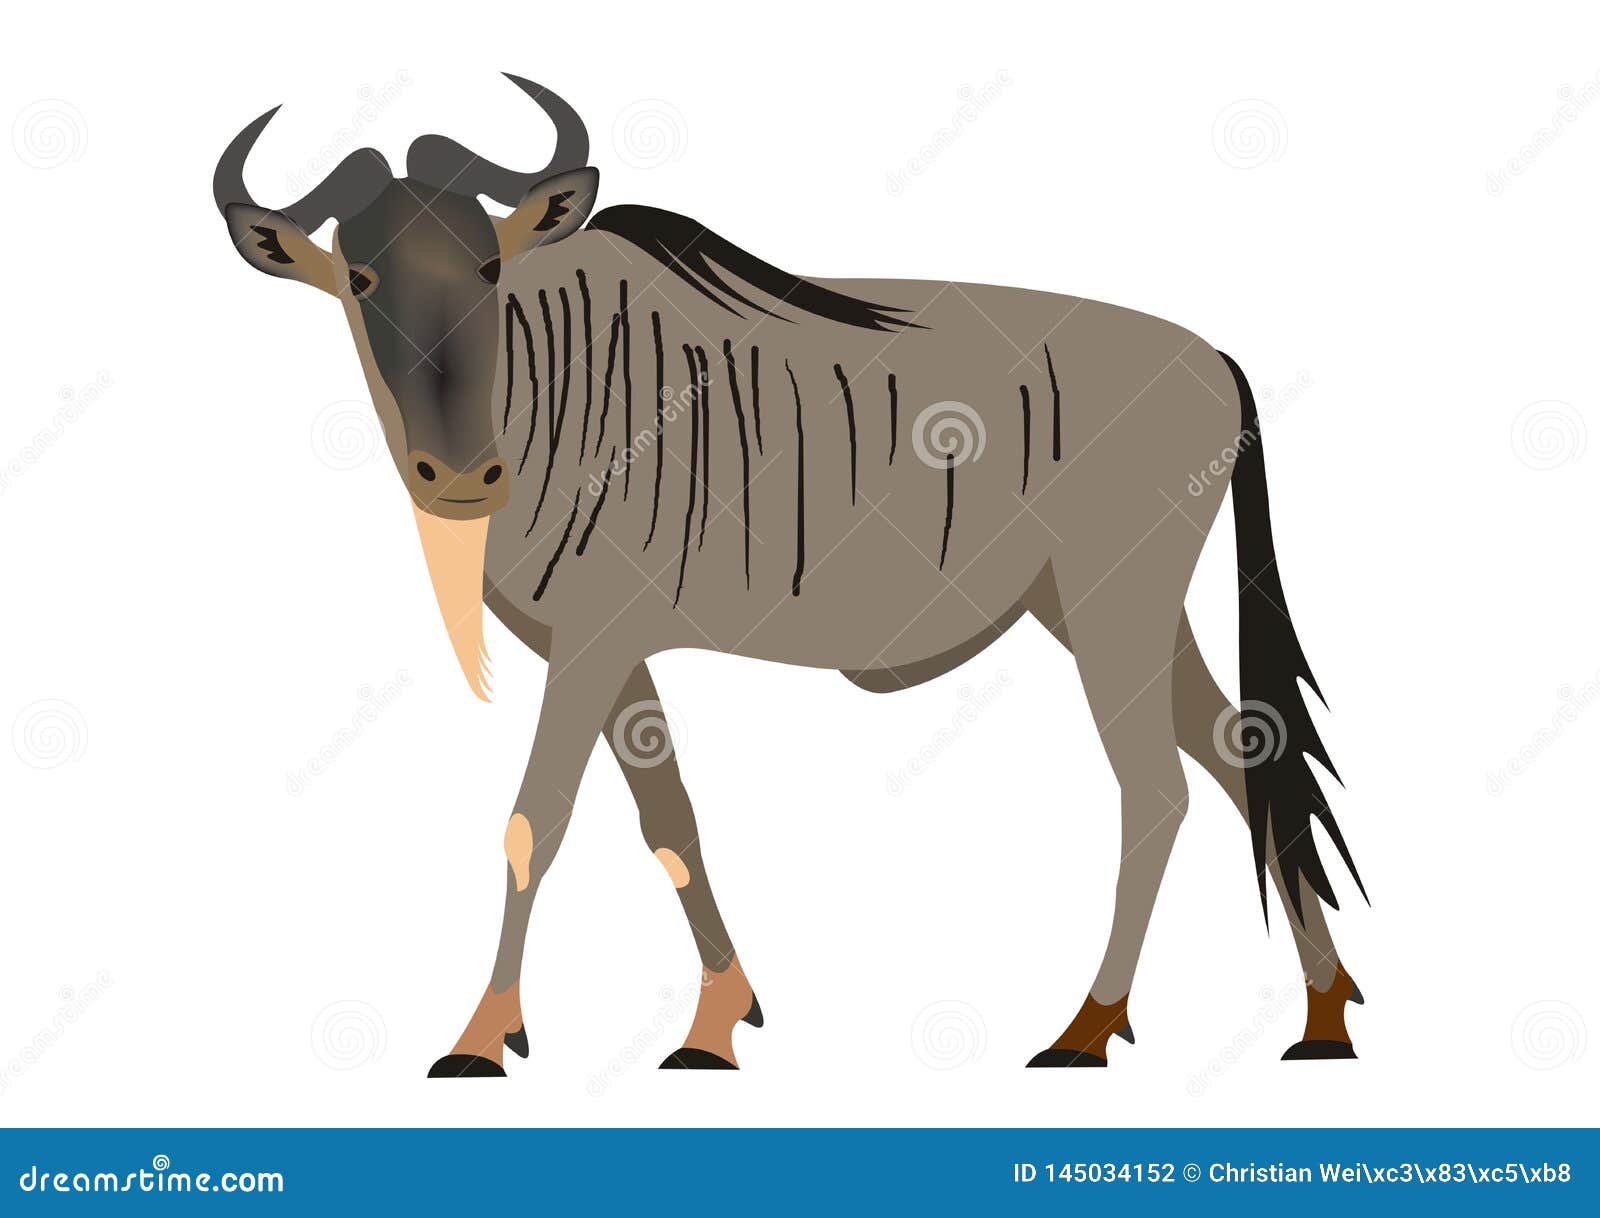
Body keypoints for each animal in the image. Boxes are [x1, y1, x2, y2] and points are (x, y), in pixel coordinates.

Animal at [215, 75, 1365, 1077]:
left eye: (489, 271)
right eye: (361, 279)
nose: (461, 478)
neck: (542, 384)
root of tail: (1214, 360)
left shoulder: (588, 647)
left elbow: (535, 821)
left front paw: (480, 1037)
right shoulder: (610, 649)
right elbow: (669, 818)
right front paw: (715, 1025)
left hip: (1109, 602)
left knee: (1157, 789)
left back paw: (1088, 1028)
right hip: (1101, 609)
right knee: (1245, 757)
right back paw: (1322, 1016)